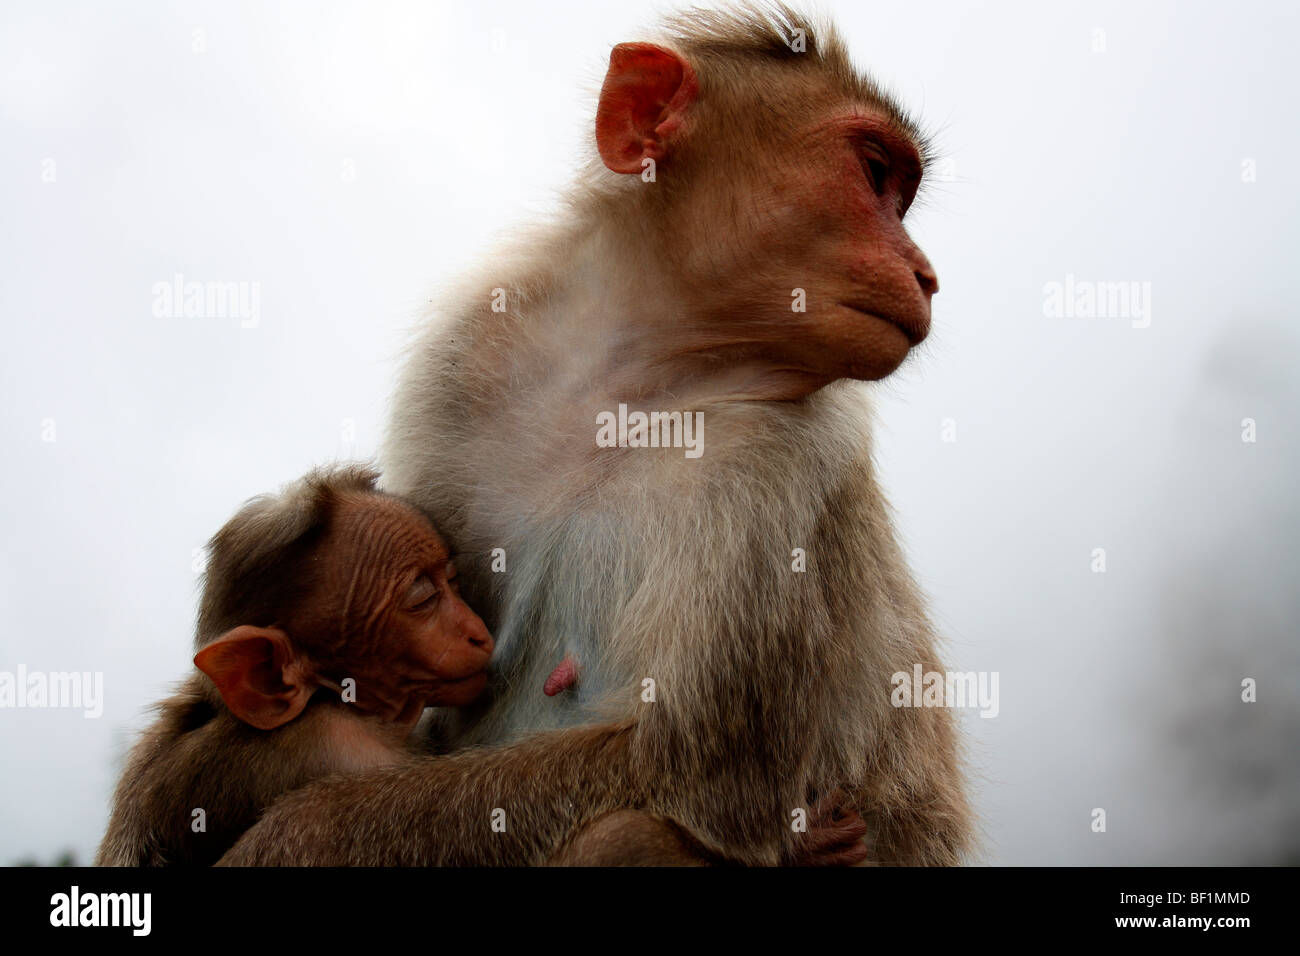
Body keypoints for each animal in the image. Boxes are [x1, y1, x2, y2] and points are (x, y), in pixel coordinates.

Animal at [220, 3, 971, 867]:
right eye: (875, 173)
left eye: (897, 188)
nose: (926, 274)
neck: (637, 382)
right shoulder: (465, 356)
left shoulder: (792, 454)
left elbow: (695, 774)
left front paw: (291, 833)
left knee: (629, 830)